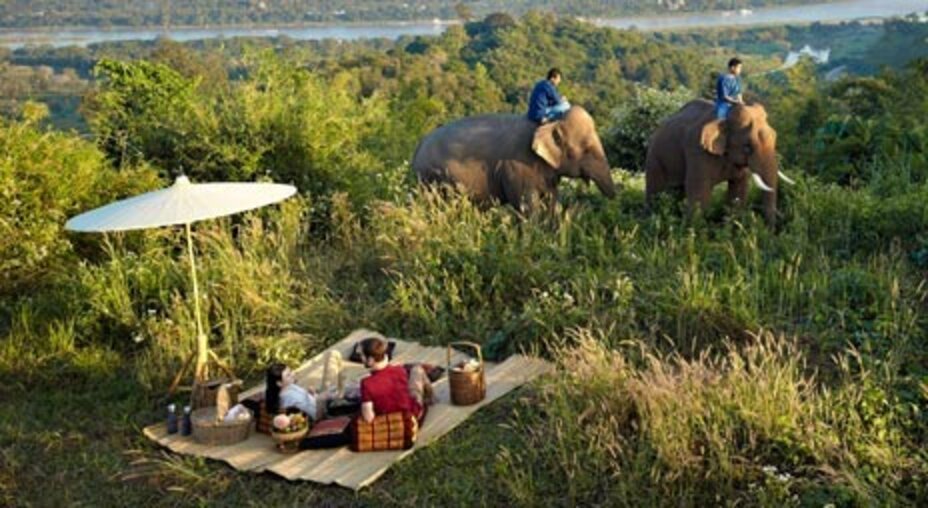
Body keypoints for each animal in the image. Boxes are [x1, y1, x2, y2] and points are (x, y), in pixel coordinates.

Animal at [411, 106, 616, 211]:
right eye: (587, 150)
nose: (614, 199)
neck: (549, 122)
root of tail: (419, 145)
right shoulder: (516, 166)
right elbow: (527, 206)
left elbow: (551, 201)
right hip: (430, 178)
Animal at [644, 99, 794, 226]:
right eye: (747, 147)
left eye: (775, 137)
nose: (771, 232)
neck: (725, 118)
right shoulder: (697, 150)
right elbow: (700, 194)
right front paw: (695, 232)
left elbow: (738, 190)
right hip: (654, 158)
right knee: (655, 192)